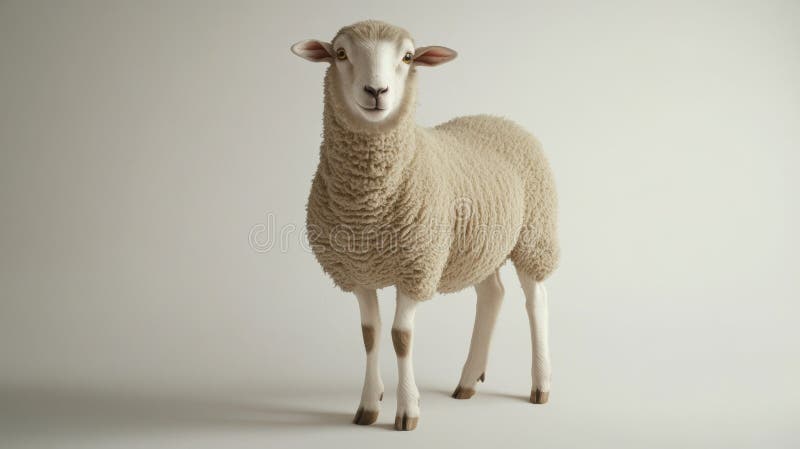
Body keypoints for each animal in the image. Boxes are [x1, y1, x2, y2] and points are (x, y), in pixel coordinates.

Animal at [291, 20, 558, 431]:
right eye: (340, 53)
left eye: (408, 57)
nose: (376, 91)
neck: (368, 208)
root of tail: (500, 120)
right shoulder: (357, 271)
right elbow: (370, 335)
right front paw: (368, 406)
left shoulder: (416, 267)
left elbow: (401, 337)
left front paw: (407, 410)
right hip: (478, 246)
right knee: (492, 294)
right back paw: (468, 381)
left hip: (533, 234)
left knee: (536, 301)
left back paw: (540, 384)